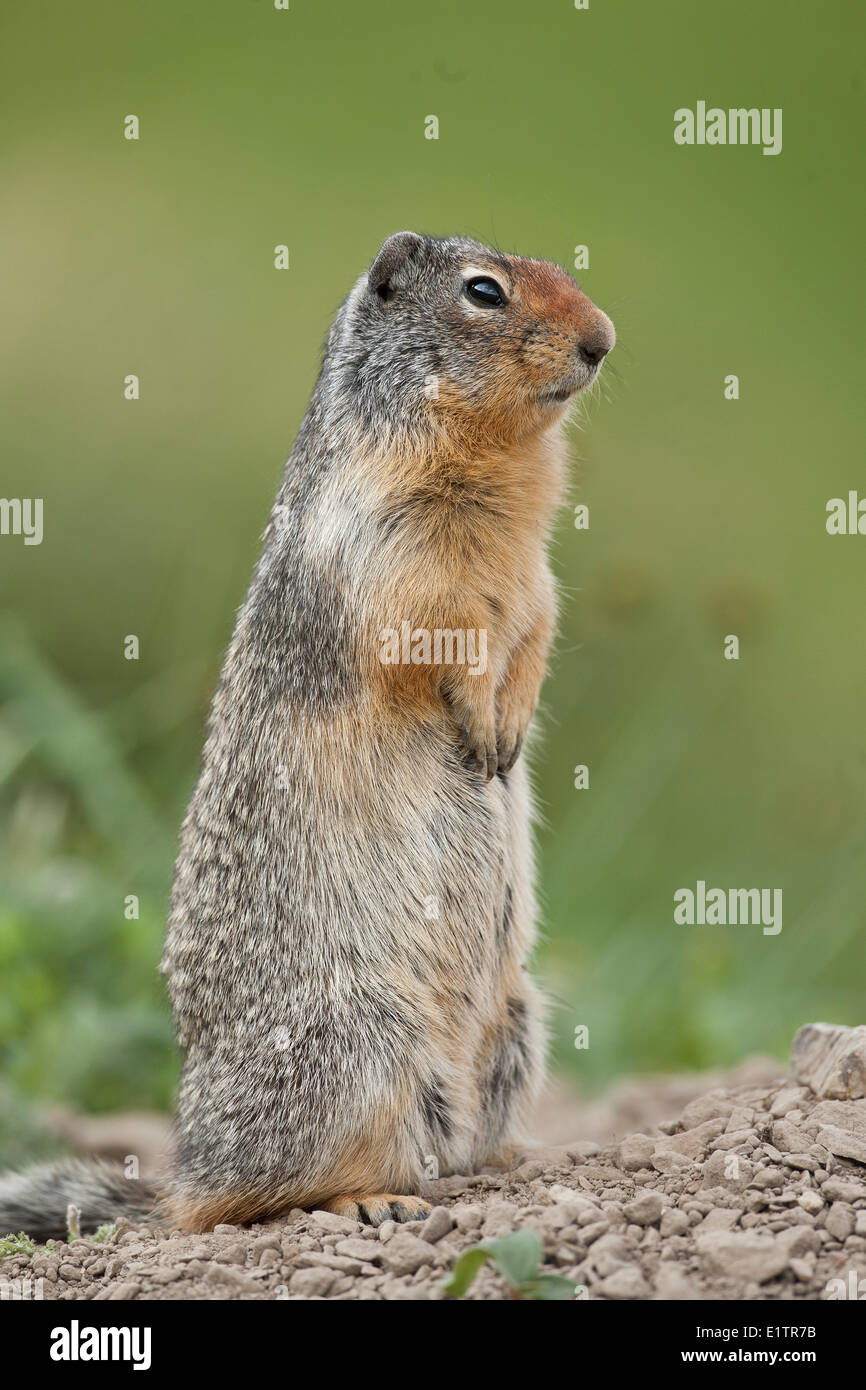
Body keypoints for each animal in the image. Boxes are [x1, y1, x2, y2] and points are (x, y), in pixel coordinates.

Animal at [0, 233, 614, 1238]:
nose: (603, 340)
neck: (499, 469)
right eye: (484, 291)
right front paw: (477, 723)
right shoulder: (395, 553)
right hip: (356, 1046)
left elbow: (537, 626)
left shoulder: (535, 573)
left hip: (518, 1023)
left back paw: (517, 1154)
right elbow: (436, 639)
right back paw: (372, 1198)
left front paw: (507, 733)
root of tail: (182, 1173)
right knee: (268, 1195)